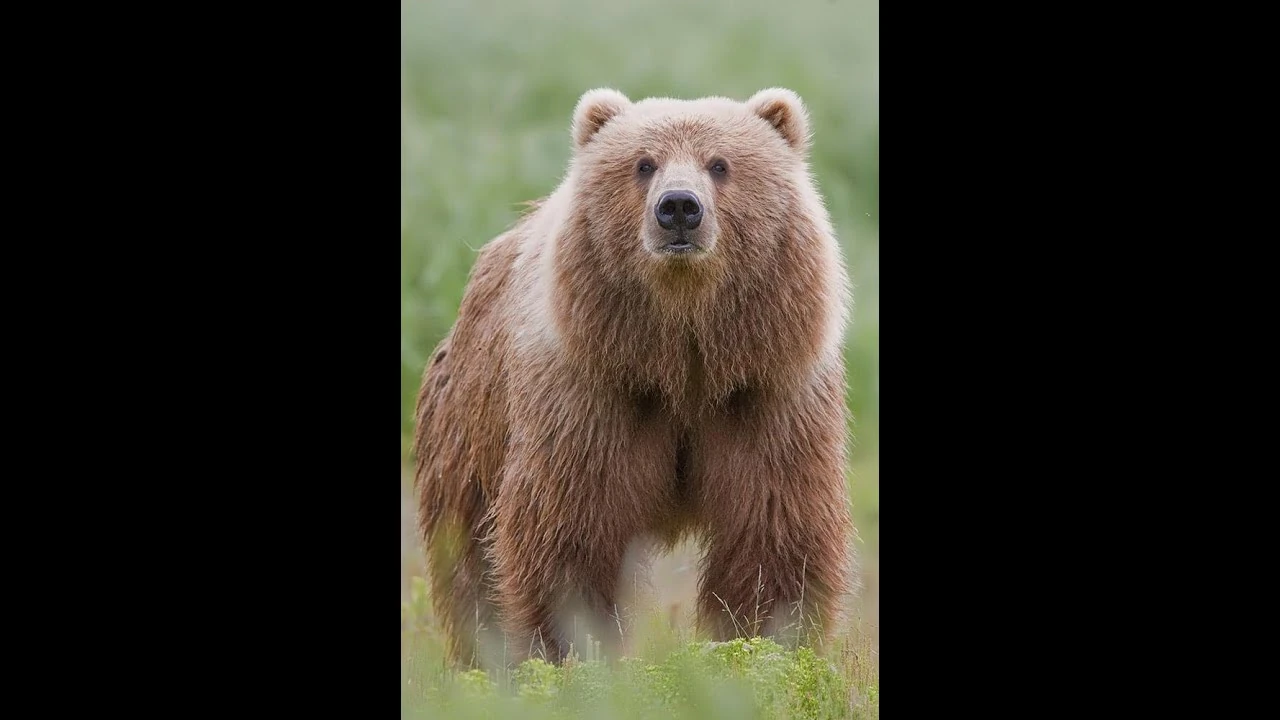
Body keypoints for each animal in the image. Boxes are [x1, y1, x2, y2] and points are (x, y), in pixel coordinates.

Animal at [413, 87, 857, 668]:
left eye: (720, 164)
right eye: (643, 164)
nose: (679, 207)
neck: (680, 357)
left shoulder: (765, 393)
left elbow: (774, 531)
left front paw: (764, 647)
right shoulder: (592, 396)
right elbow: (571, 534)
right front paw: (574, 653)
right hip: (470, 429)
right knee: (468, 565)